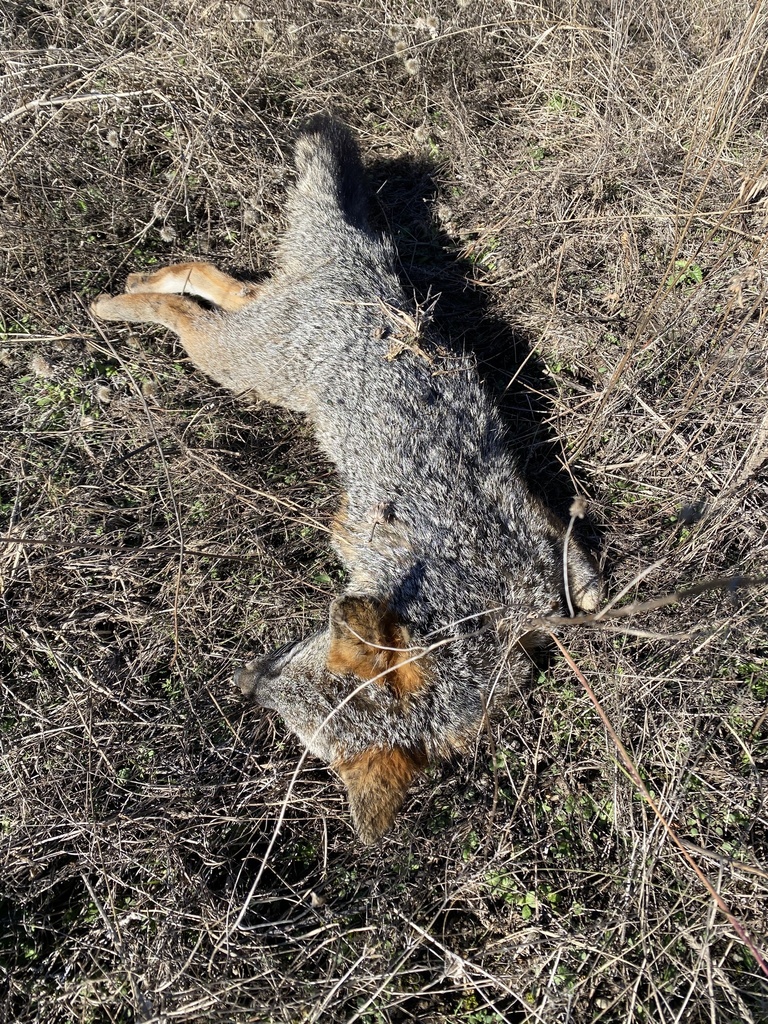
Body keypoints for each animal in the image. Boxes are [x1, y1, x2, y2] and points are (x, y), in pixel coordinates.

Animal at [91, 117, 600, 844]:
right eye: (294, 668)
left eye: (284, 689)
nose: (242, 680)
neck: (474, 598)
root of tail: (355, 268)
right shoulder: (364, 534)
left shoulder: (548, 558)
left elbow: (585, 588)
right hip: (234, 361)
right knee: (186, 311)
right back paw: (116, 303)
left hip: (253, 335)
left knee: (212, 281)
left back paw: (139, 279)